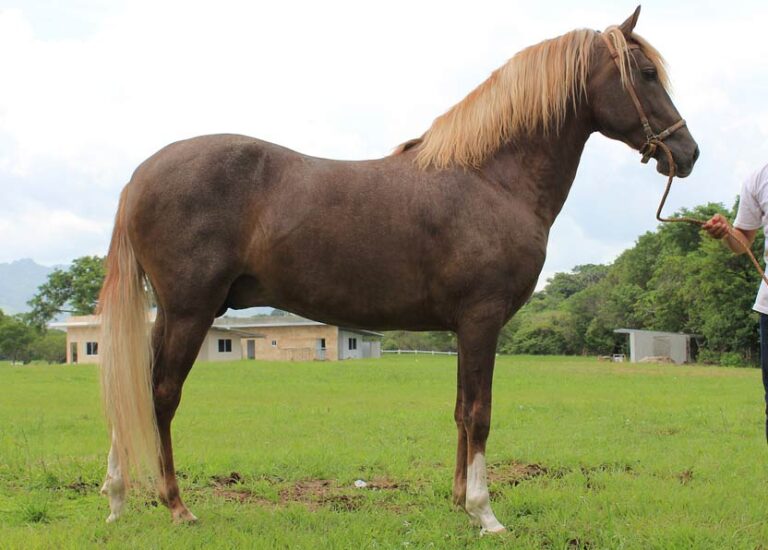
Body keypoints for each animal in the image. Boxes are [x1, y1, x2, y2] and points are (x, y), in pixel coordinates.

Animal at [97, 7, 698, 533]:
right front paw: (485, 513)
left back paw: (118, 498)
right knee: (160, 395)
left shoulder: (463, 328)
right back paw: (176, 506)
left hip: (169, 313)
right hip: (190, 311)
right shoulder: (482, 321)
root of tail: (139, 176)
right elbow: (479, 412)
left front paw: (458, 502)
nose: (688, 153)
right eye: (647, 74)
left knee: (134, 390)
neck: (491, 178)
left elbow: (459, 410)